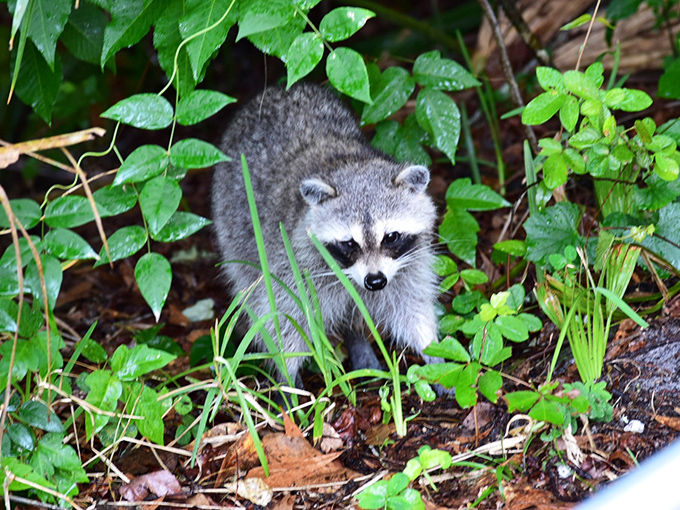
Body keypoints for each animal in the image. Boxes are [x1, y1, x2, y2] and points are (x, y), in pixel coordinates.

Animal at [211, 83, 441, 388]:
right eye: (349, 243)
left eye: (391, 236)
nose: (375, 281)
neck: (350, 163)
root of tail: (275, 90)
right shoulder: (290, 261)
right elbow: (283, 315)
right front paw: (288, 375)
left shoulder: (408, 263)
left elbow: (411, 306)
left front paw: (434, 352)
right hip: (233, 222)